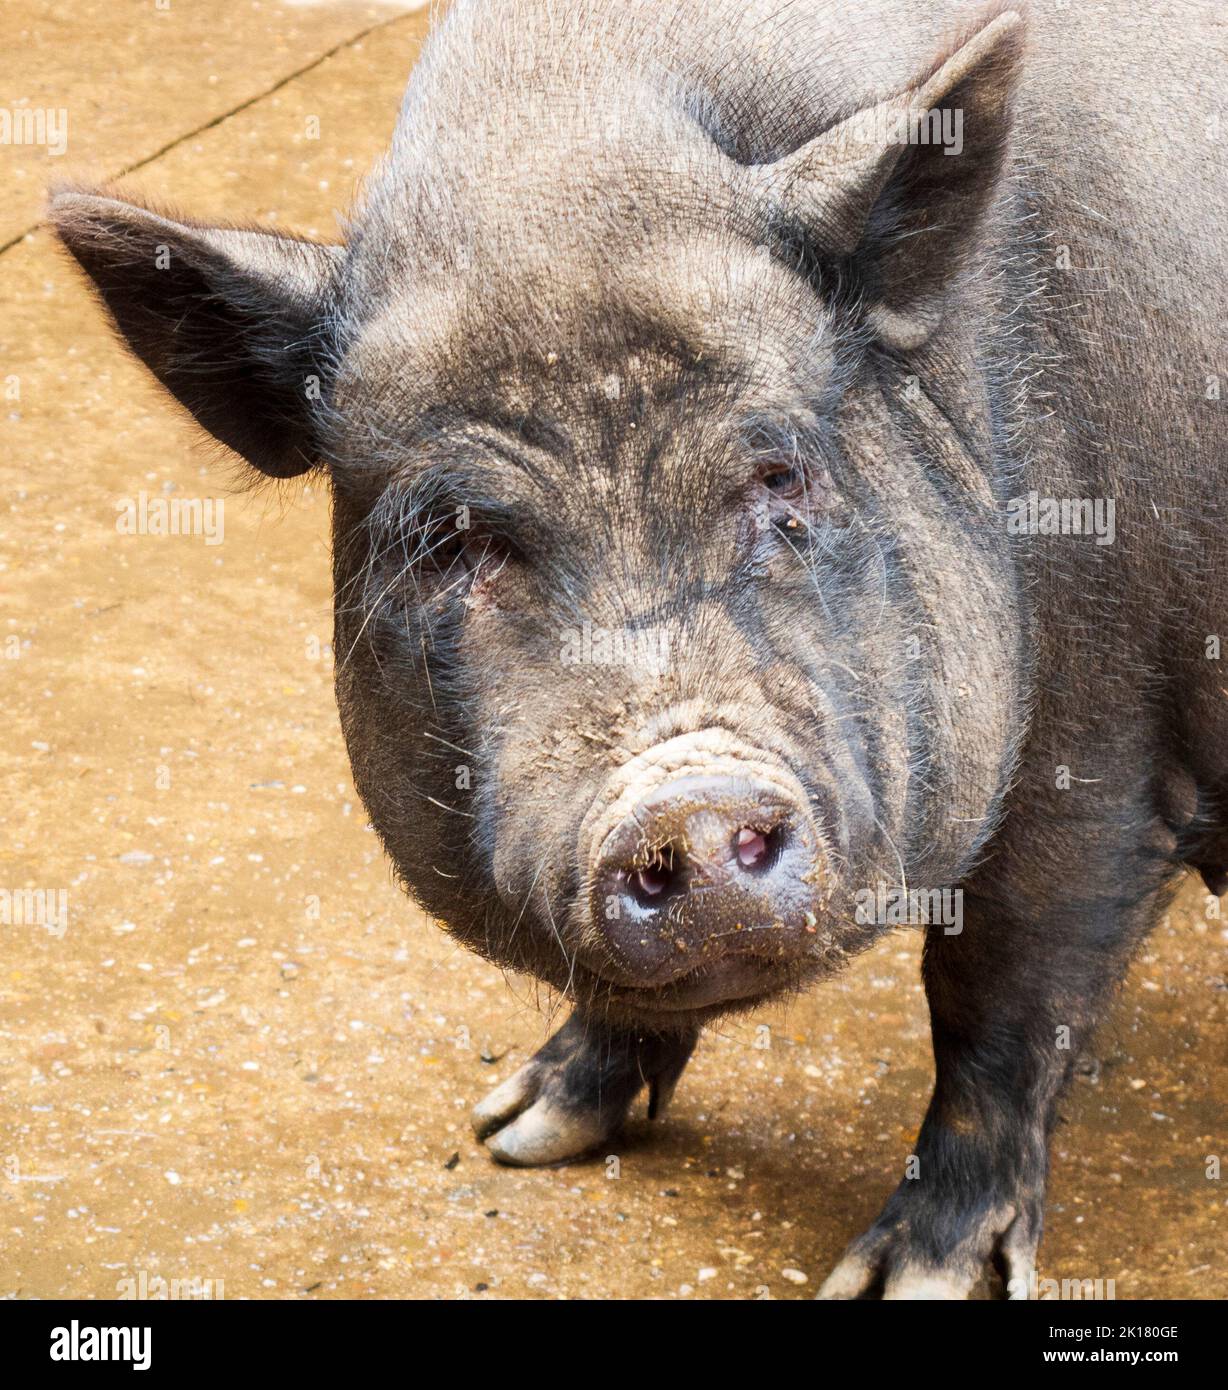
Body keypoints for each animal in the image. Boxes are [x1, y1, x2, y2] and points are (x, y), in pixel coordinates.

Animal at [50, 0, 1228, 1298]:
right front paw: (516, 1132)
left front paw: (906, 1283)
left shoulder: (1105, 723)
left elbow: (999, 989)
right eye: (454, 538)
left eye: (779, 473)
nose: (689, 801)